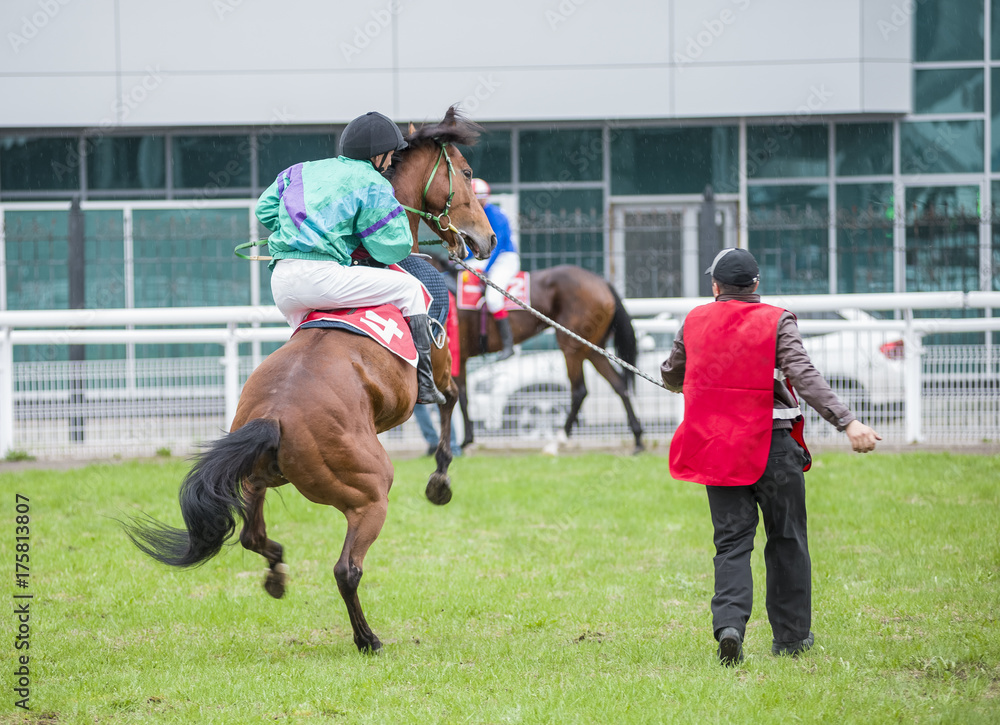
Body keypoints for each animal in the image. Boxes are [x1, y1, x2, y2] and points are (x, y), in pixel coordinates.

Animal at [122, 106, 495, 654]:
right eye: (467, 173)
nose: (488, 240)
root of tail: (273, 417)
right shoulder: (441, 358)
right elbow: (449, 400)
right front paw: (441, 479)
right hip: (369, 493)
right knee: (346, 569)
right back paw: (367, 638)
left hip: (258, 478)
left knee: (253, 537)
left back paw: (277, 573)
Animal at [455, 265, 645, 453]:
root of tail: (603, 282)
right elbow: (462, 396)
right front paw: (466, 440)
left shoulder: (458, 355)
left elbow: (460, 396)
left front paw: (465, 442)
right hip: (594, 349)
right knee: (619, 385)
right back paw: (637, 438)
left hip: (571, 346)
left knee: (579, 391)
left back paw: (557, 441)